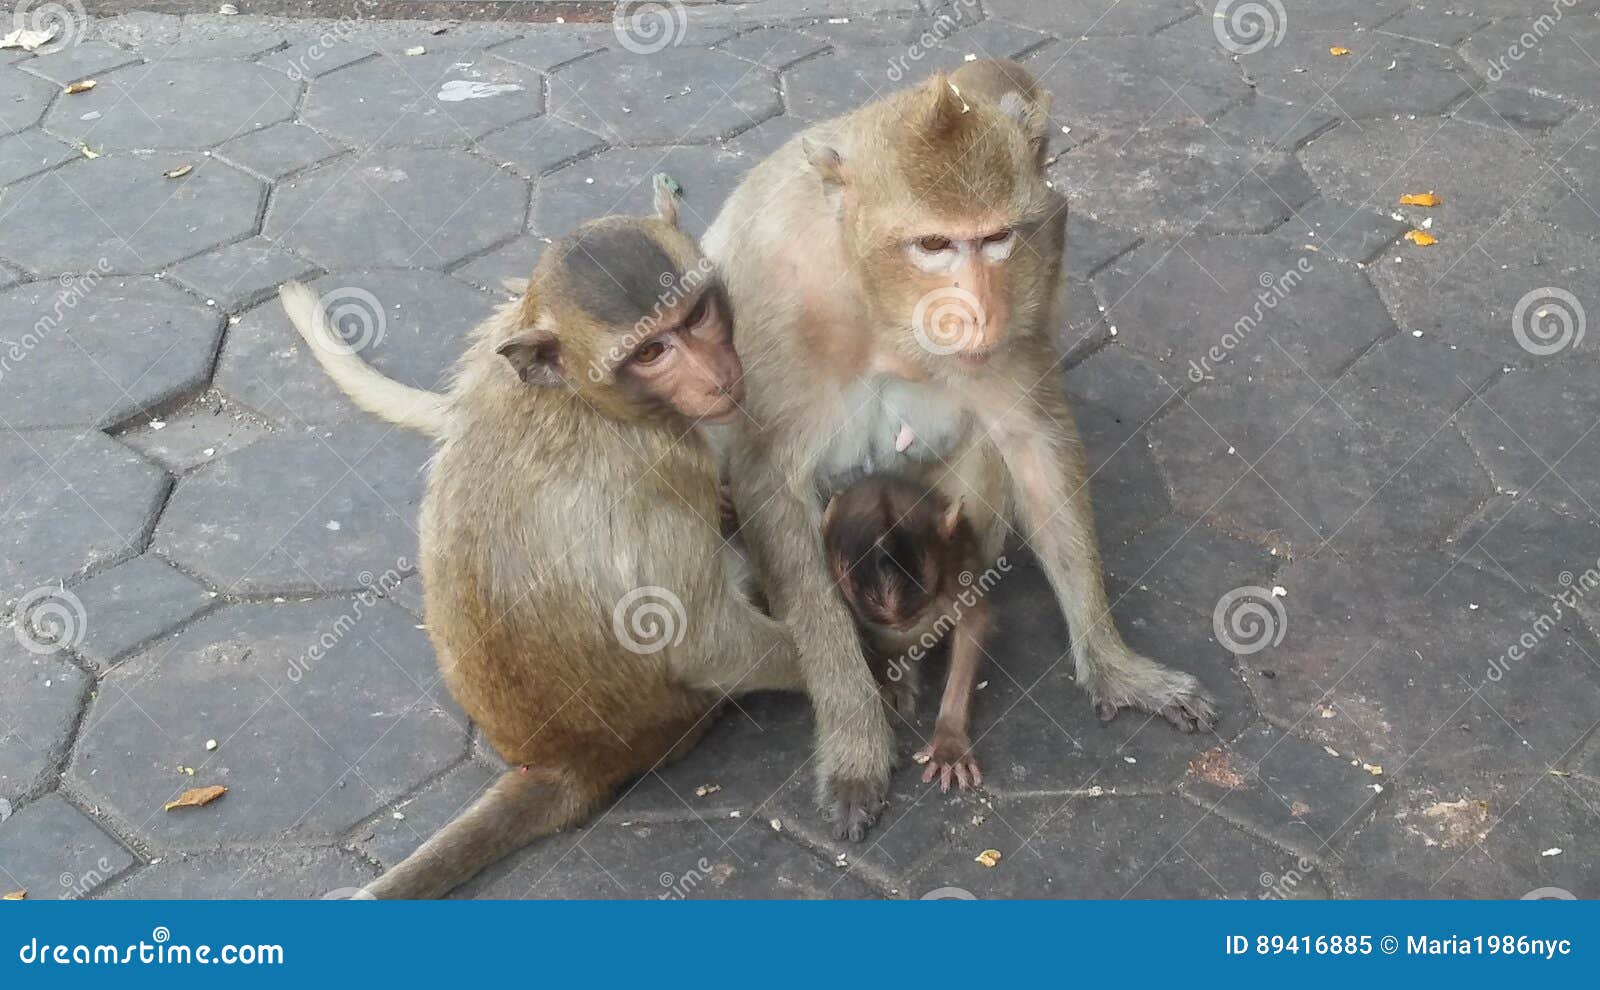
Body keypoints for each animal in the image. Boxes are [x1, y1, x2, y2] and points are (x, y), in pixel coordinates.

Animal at [278, 177, 804, 898]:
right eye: (651, 351)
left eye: (696, 315)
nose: (716, 377)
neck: (575, 396)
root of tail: (562, 761)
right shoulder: (661, 466)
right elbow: (704, 643)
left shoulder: (496, 346)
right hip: (674, 721)